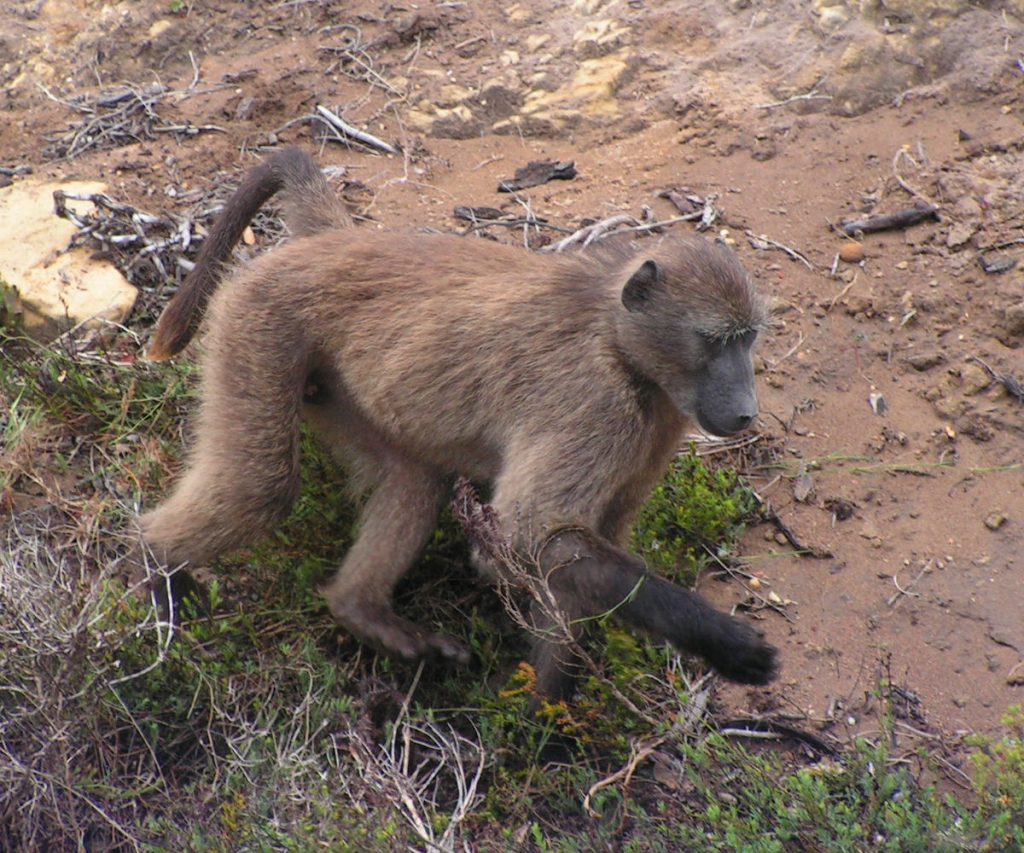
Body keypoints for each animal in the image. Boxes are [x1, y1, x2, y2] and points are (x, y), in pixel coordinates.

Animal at [141, 147, 777, 699]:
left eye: (747, 339)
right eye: (714, 340)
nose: (744, 411)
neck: (619, 343)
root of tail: (333, 241)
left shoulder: (658, 426)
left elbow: (572, 551)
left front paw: (544, 718)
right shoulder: (594, 405)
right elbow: (525, 534)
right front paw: (728, 644)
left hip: (336, 383)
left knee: (417, 482)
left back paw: (361, 611)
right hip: (260, 321)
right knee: (260, 490)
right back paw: (158, 571)